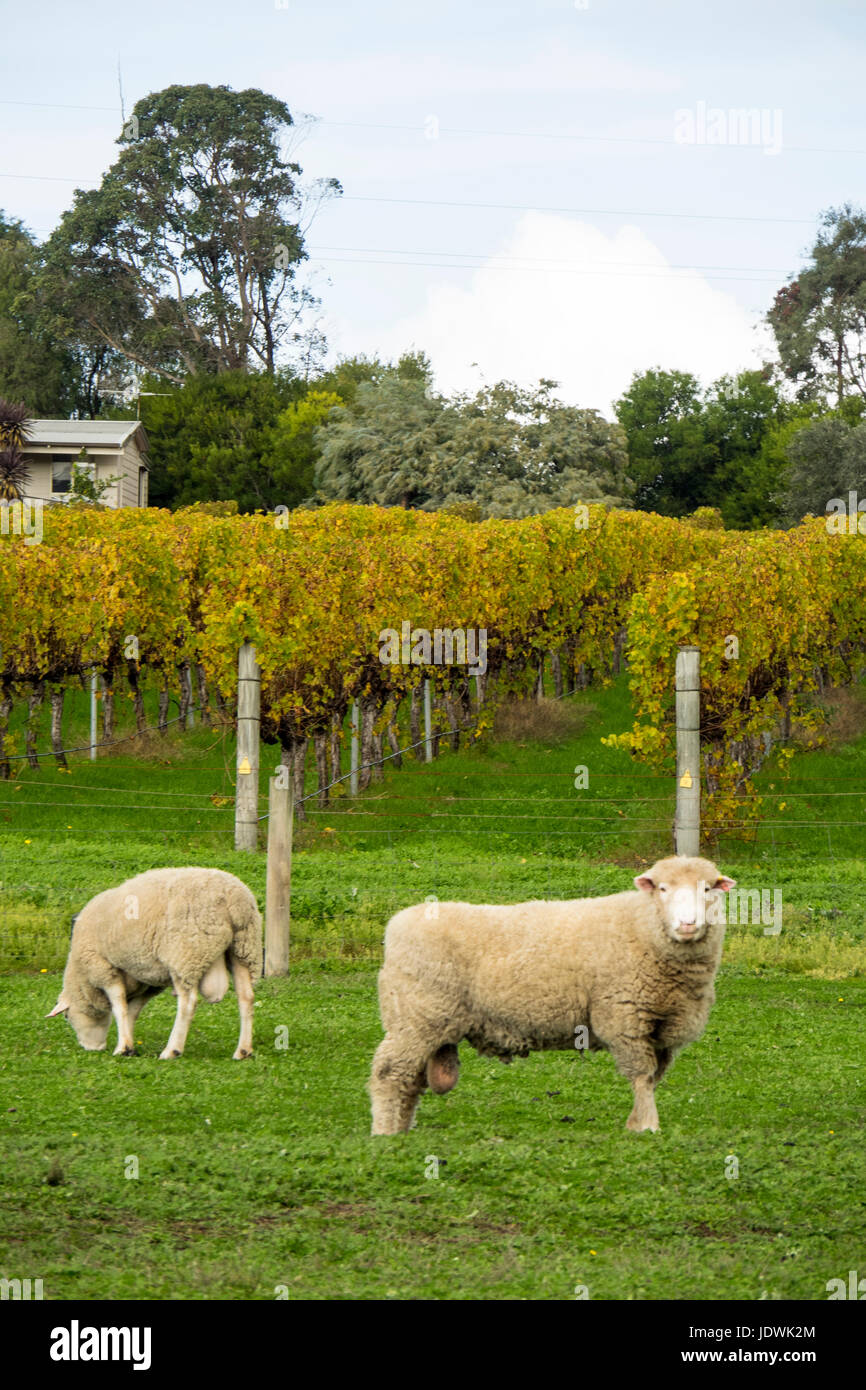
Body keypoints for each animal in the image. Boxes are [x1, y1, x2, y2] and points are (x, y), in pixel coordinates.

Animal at [46, 867, 262, 1060]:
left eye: (67, 1016)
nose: (92, 1049)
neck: (82, 976)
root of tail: (235, 900)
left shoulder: (104, 969)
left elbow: (119, 1007)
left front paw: (123, 1048)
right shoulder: (149, 981)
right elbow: (132, 1011)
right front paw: (129, 1044)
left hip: (186, 955)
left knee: (188, 1002)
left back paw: (172, 1050)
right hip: (243, 949)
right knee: (246, 997)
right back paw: (243, 1051)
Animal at [369, 855, 736, 1135]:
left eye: (707, 888)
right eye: (662, 889)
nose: (687, 924)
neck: (642, 927)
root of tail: (396, 925)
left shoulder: (662, 1025)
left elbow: (654, 1077)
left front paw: (635, 1122)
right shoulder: (624, 1018)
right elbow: (642, 1077)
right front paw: (647, 1126)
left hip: (423, 1022)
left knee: (410, 1081)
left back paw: (402, 1129)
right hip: (416, 1016)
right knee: (390, 1073)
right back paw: (385, 1132)